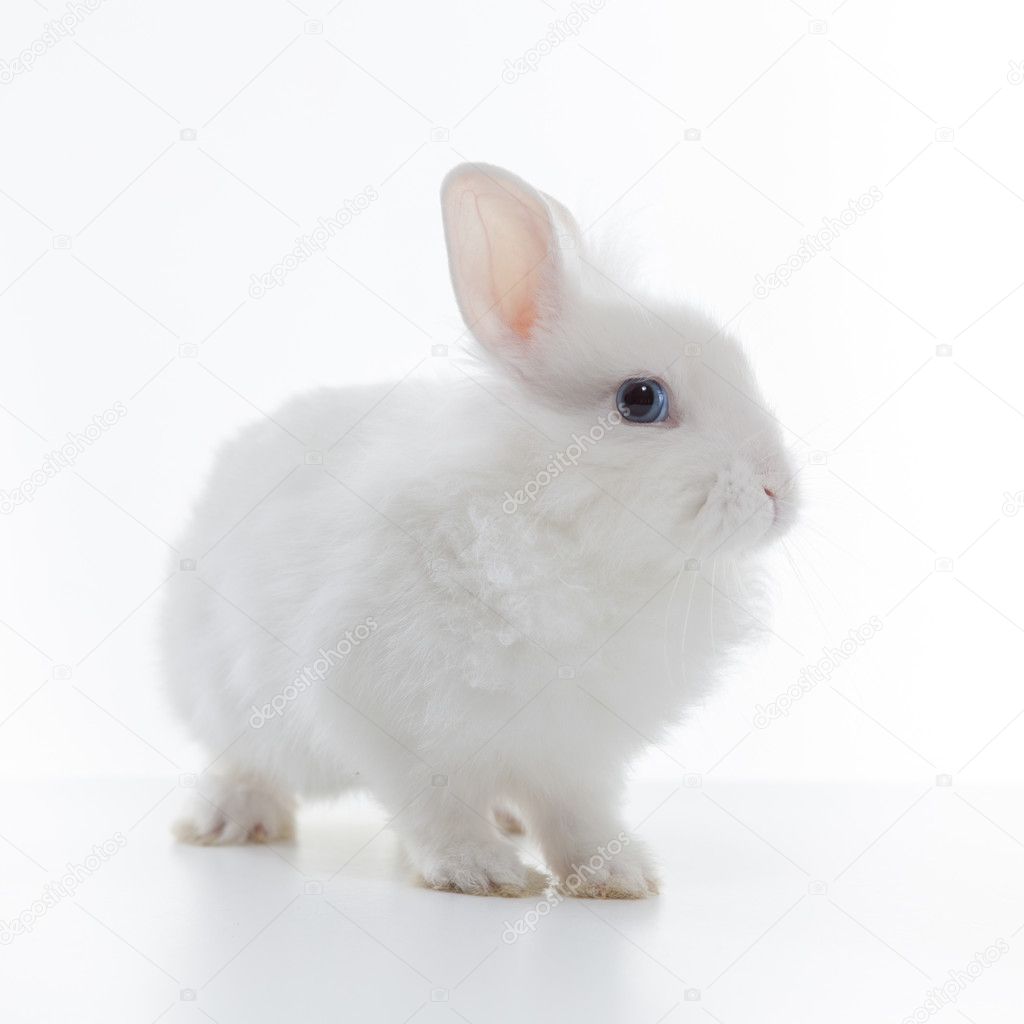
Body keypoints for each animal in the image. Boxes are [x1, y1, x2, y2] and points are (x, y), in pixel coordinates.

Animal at [162, 162, 798, 898]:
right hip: (226, 700)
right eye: (641, 400)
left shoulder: (573, 750)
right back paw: (232, 820)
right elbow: (435, 807)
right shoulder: (391, 719)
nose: (779, 493)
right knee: (242, 763)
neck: (559, 530)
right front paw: (482, 872)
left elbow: (577, 815)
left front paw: (616, 876)